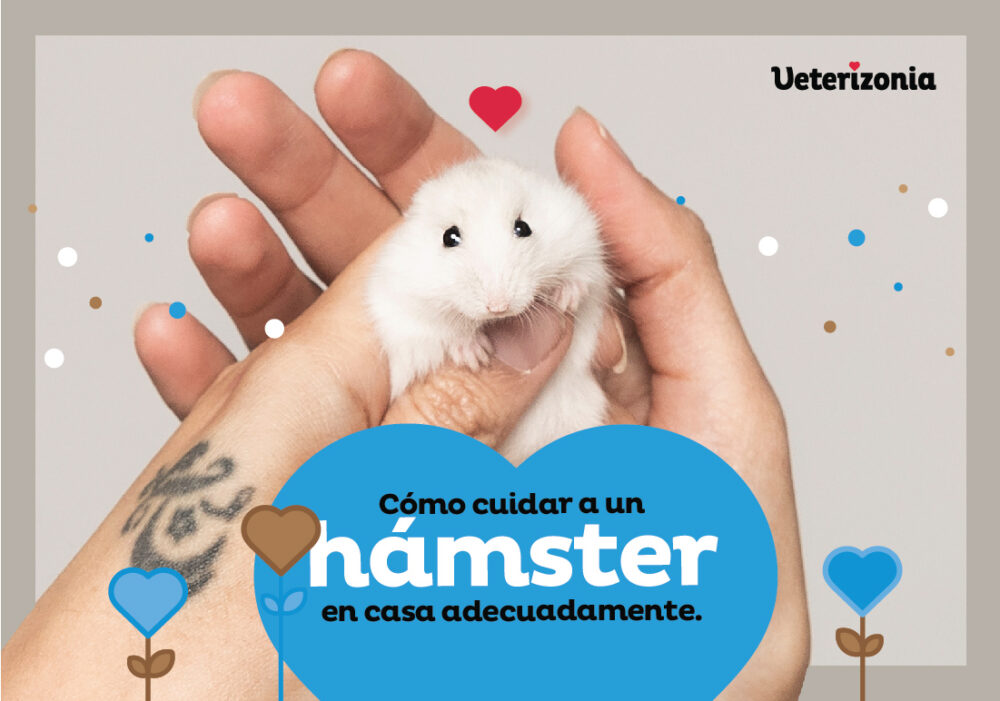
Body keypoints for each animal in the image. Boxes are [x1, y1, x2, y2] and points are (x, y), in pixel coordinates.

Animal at [366, 157, 610, 464]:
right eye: (449, 237)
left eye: (523, 227)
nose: (498, 307)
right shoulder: (399, 311)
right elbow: (440, 329)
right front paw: (477, 356)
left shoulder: (584, 239)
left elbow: (583, 275)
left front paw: (566, 298)